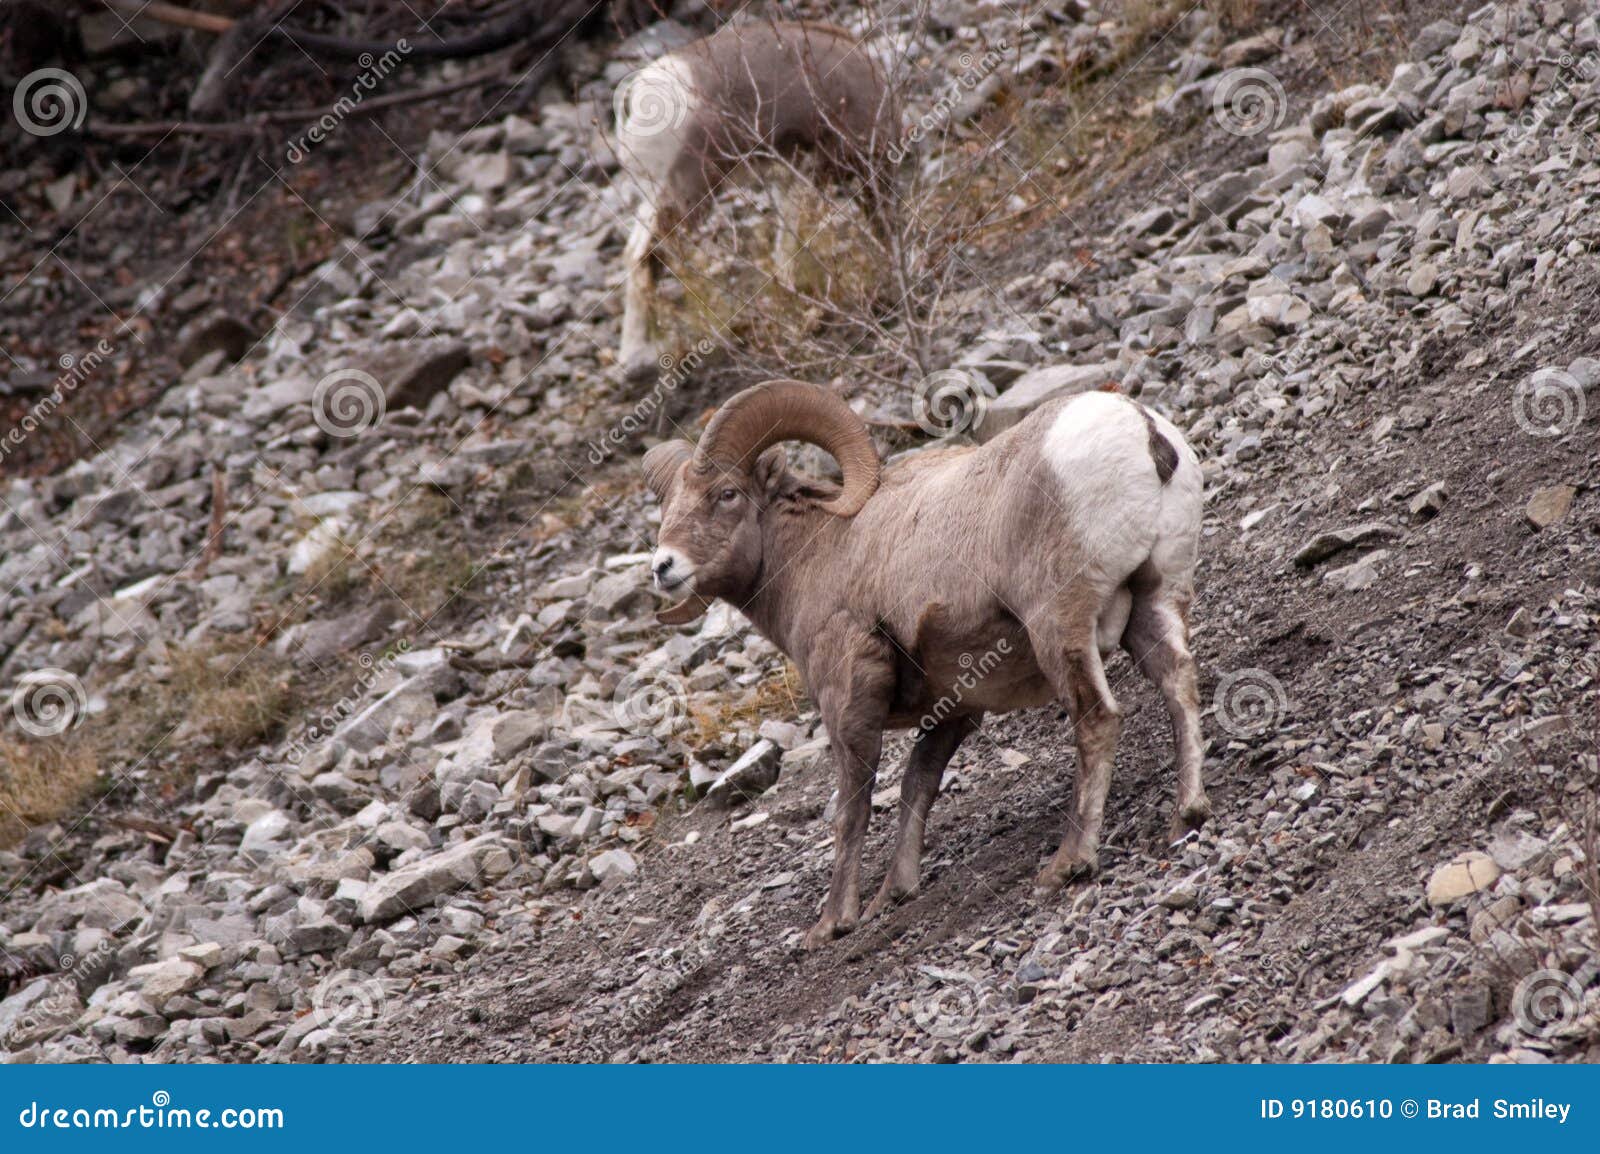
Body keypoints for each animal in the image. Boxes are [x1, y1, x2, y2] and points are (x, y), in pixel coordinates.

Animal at [612, 20, 898, 380]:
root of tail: (638, 94)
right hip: (690, 190)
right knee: (648, 255)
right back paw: (642, 357)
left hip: (657, 193)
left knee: (633, 252)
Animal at [642, 379, 1211, 948]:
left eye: (726, 494)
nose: (662, 567)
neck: (818, 553)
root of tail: (1140, 429)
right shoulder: (955, 705)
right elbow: (919, 782)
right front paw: (893, 893)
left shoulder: (848, 701)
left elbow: (854, 807)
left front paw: (833, 923)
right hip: (1155, 598)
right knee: (1178, 681)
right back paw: (1187, 815)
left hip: (1059, 626)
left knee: (1097, 719)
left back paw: (1068, 864)